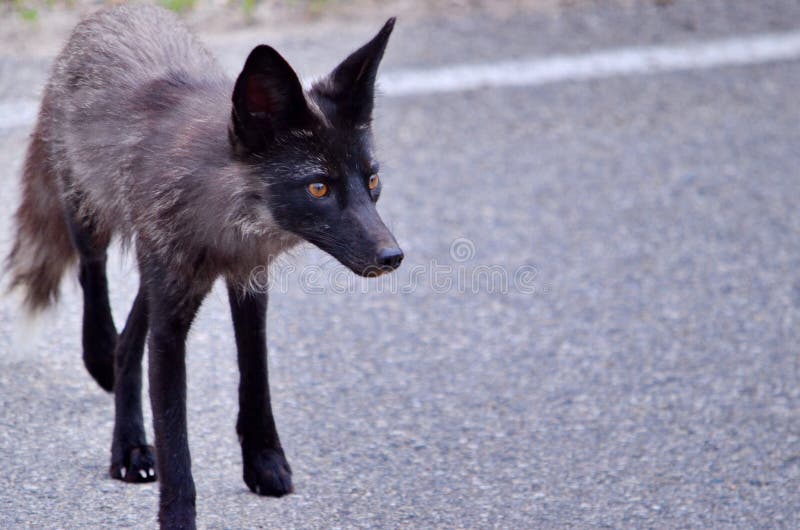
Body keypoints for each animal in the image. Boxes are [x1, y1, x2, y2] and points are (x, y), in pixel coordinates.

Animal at [6, 5, 402, 529]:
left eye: (372, 181)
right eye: (319, 187)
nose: (392, 257)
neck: (222, 228)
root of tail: (112, 12)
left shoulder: (248, 283)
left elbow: (255, 376)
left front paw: (264, 462)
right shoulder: (172, 325)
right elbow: (176, 439)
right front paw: (178, 515)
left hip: (163, 276)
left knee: (130, 340)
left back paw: (128, 444)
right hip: (91, 220)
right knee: (94, 279)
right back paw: (107, 381)